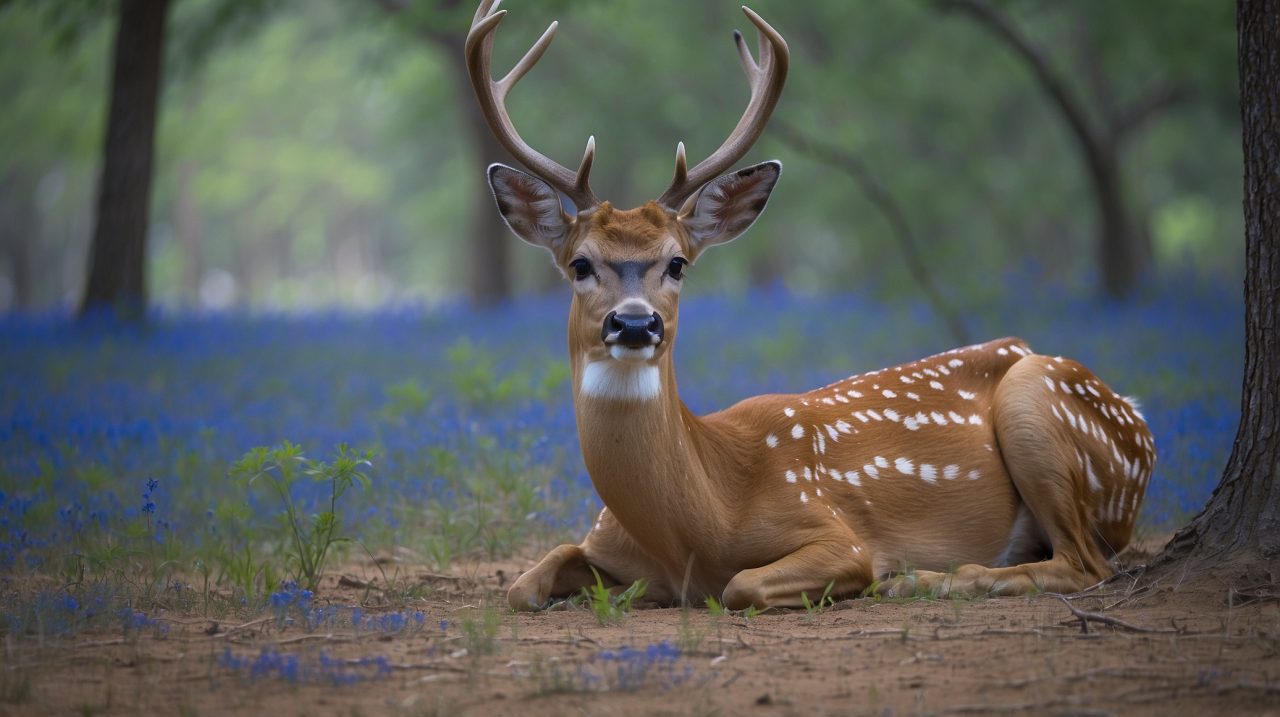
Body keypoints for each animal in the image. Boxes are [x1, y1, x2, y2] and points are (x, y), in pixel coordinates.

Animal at [465, 0, 1156, 611]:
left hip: (1037, 406)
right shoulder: (600, 539)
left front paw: (884, 576)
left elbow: (742, 585)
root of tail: (1139, 422)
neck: (697, 526)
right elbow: (525, 581)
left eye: (678, 262)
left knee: (1088, 563)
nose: (635, 322)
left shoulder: (836, 533)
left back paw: (930, 579)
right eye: (580, 263)